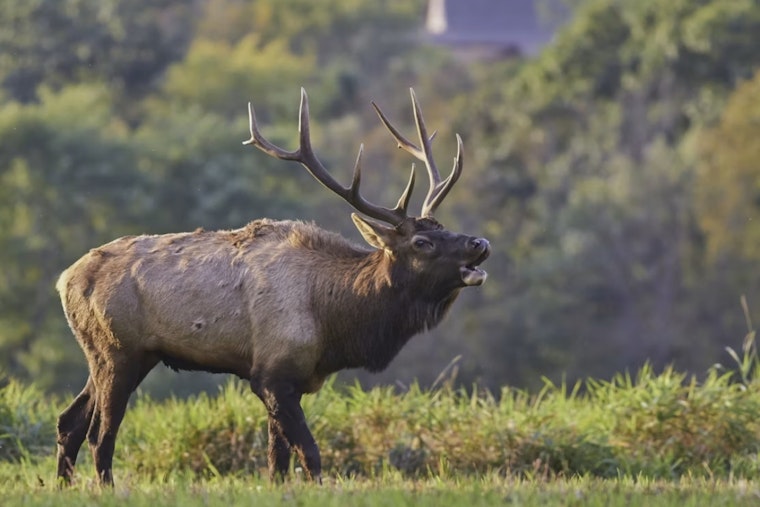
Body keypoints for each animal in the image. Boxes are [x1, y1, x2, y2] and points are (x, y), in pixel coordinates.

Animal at [54, 88, 490, 486]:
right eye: (421, 242)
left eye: (445, 227)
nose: (479, 243)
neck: (334, 322)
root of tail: (65, 280)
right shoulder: (271, 373)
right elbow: (309, 454)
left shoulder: (287, 380)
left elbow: (276, 461)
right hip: (118, 350)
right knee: (100, 435)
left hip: (120, 354)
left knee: (69, 421)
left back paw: (64, 484)